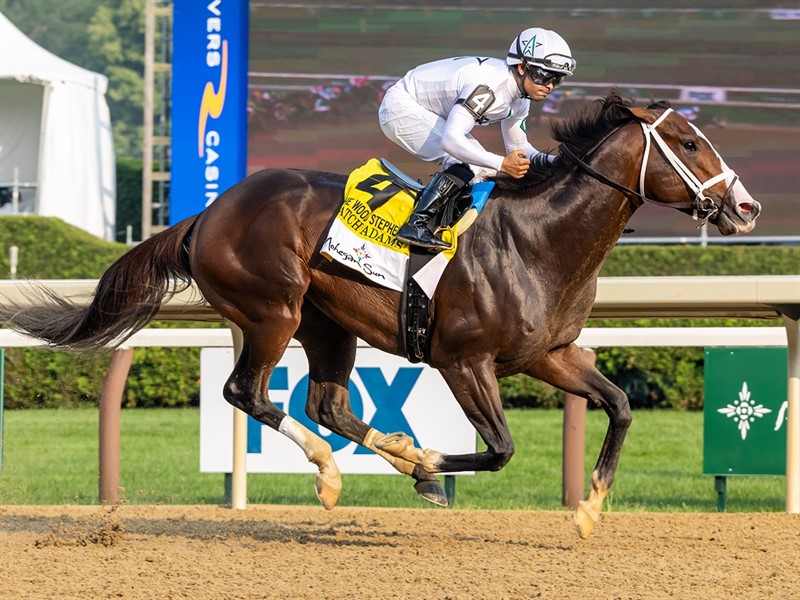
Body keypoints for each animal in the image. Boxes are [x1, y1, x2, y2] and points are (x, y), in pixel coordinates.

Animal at [0, 91, 760, 538]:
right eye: (689, 143)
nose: (746, 206)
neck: (539, 238)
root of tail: (207, 214)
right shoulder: (463, 359)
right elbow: (499, 449)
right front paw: (429, 465)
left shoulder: (550, 353)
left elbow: (620, 406)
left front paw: (592, 505)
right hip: (273, 311)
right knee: (247, 392)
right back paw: (337, 472)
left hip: (326, 324)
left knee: (329, 405)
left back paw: (376, 454)